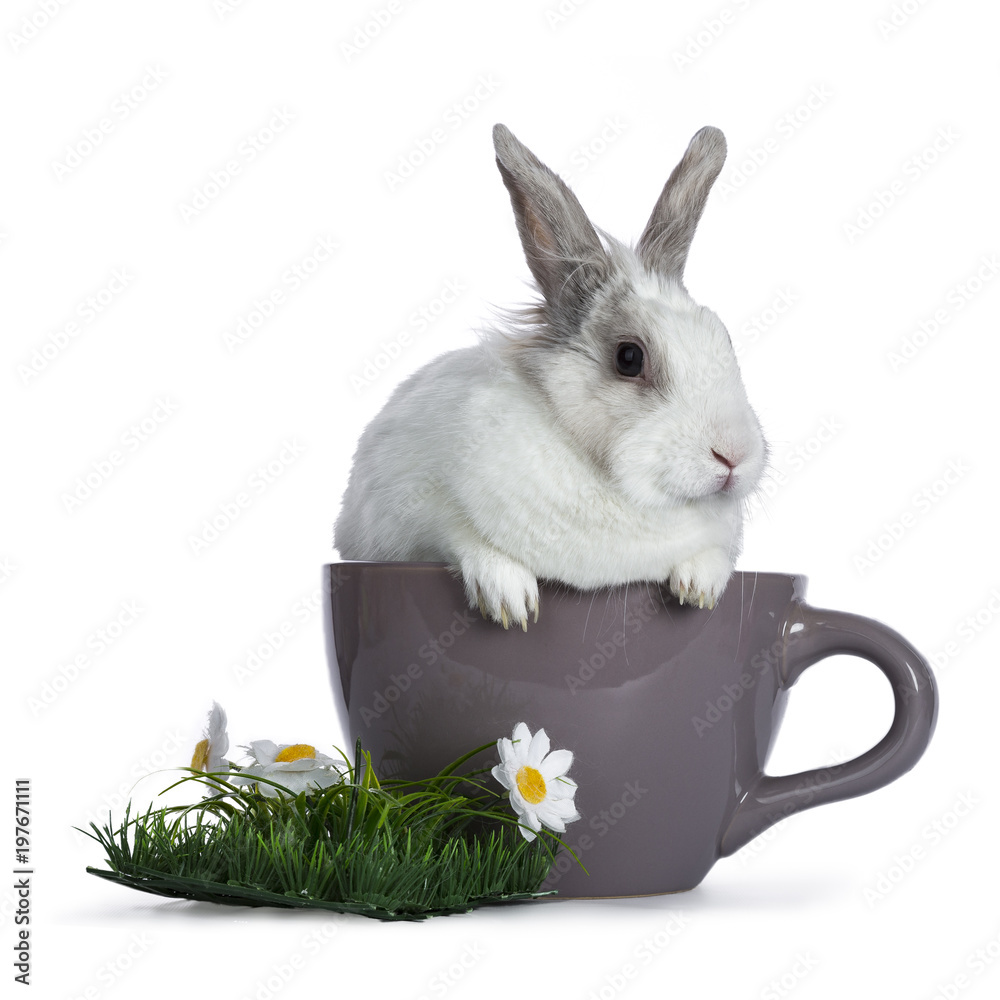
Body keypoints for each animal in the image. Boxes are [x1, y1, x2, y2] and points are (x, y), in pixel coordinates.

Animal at [334, 123, 767, 630]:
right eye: (629, 358)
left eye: (726, 339)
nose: (733, 457)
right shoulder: (416, 510)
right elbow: (463, 537)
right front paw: (510, 600)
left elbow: (714, 555)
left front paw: (700, 588)